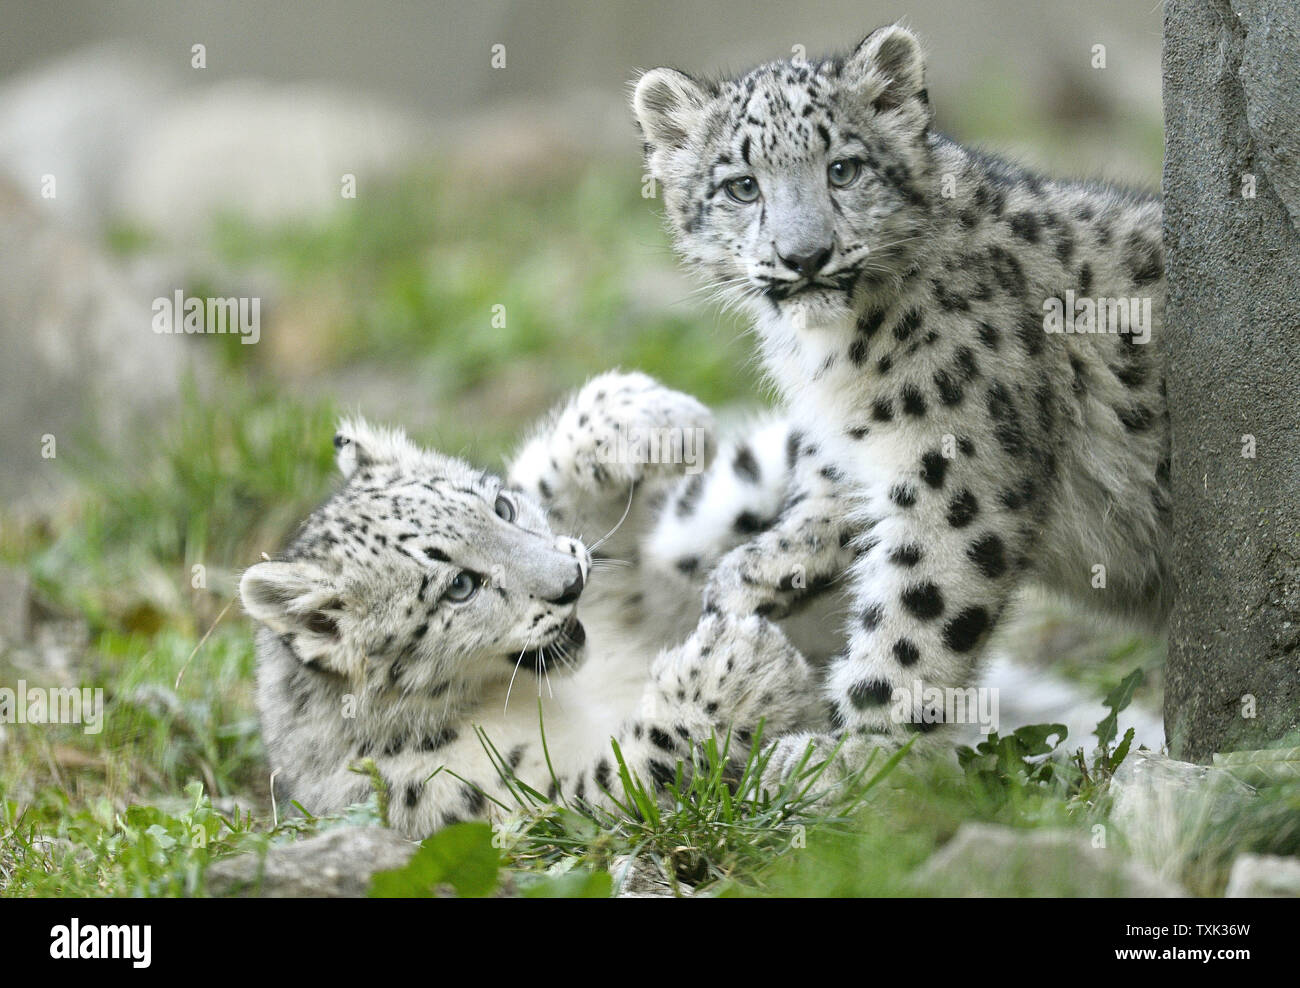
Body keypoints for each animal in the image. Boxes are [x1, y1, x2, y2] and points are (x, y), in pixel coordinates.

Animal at [631, 23, 1169, 745]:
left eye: (843, 169)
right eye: (742, 186)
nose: (805, 257)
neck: (835, 356)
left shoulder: (959, 476)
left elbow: (913, 623)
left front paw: (854, 755)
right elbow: (828, 493)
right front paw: (746, 578)